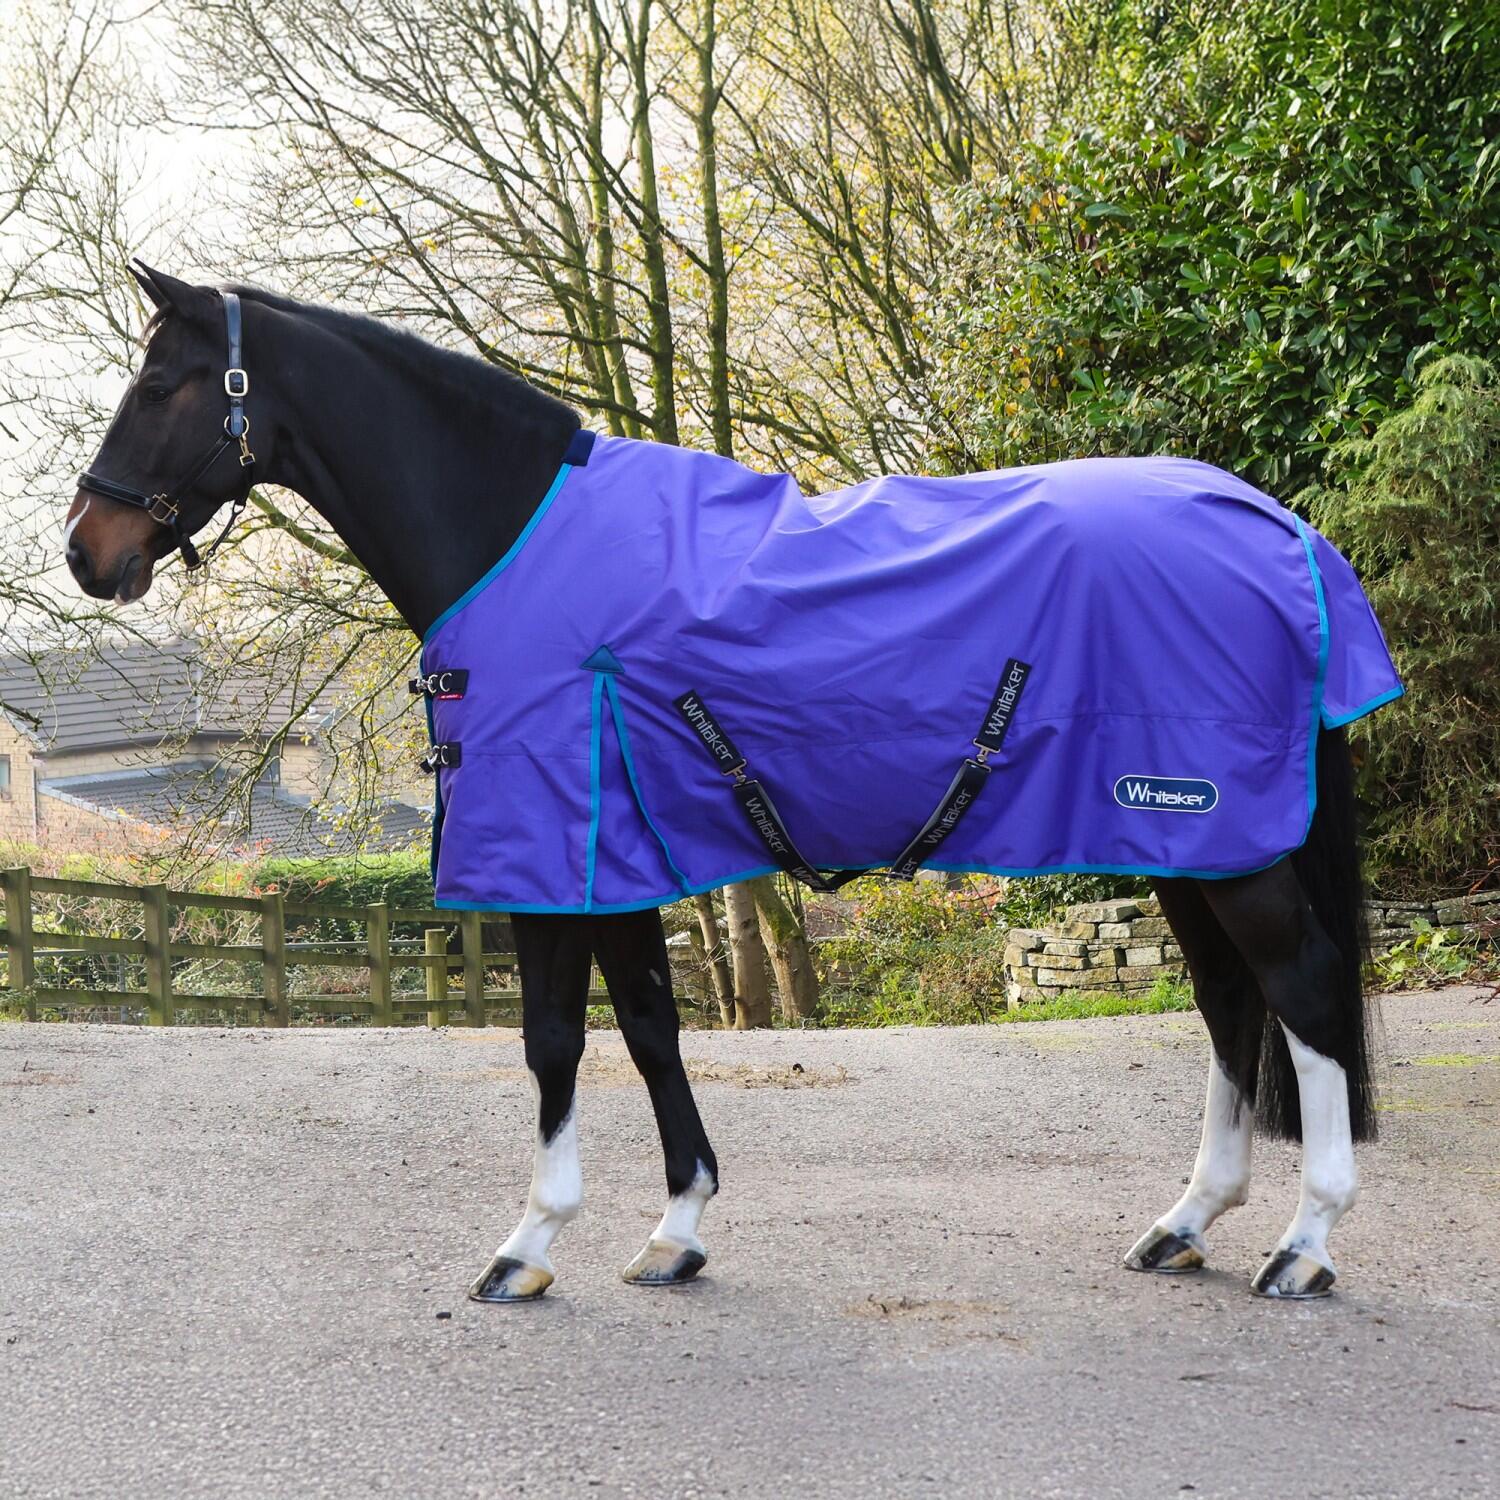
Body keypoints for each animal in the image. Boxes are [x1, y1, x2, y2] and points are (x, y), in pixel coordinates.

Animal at [64, 263, 1389, 1303]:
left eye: (159, 385)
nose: (87, 550)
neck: (516, 540)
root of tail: (1278, 527)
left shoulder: (552, 855)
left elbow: (555, 1041)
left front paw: (529, 1243)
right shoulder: (618, 857)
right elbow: (651, 1028)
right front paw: (676, 1229)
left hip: (1227, 843)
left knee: (1301, 993)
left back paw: (1307, 1243)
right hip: (1186, 847)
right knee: (1229, 1006)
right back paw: (1188, 1222)